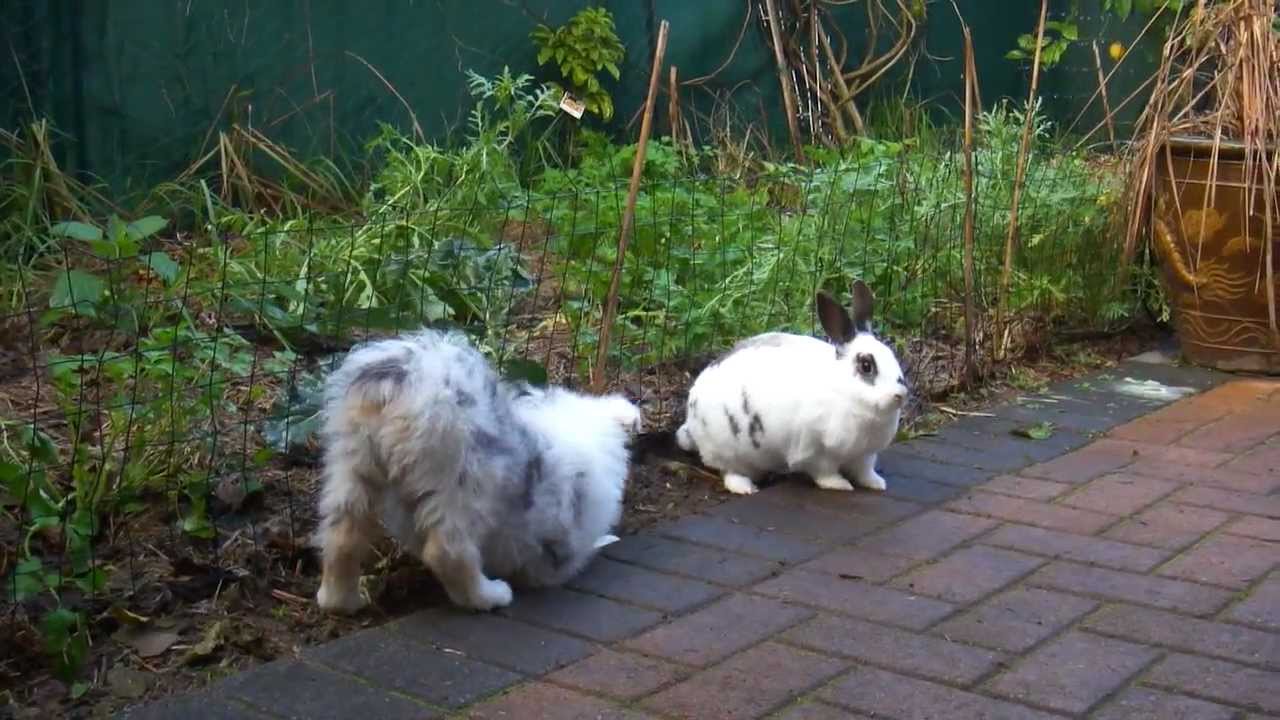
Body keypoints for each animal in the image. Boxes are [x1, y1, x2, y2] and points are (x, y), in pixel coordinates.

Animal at [312, 328, 642, 614]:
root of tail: (401, 382)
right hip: (464, 483)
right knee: (448, 551)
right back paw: (488, 596)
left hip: (353, 461)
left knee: (342, 537)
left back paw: (341, 601)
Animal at [675, 279, 907, 496]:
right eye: (866, 366)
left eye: (892, 355)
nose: (901, 394)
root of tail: (691, 421)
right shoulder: (815, 452)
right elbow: (825, 473)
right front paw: (840, 485)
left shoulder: (865, 455)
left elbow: (864, 472)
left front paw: (877, 484)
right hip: (729, 452)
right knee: (730, 473)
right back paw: (747, 488)